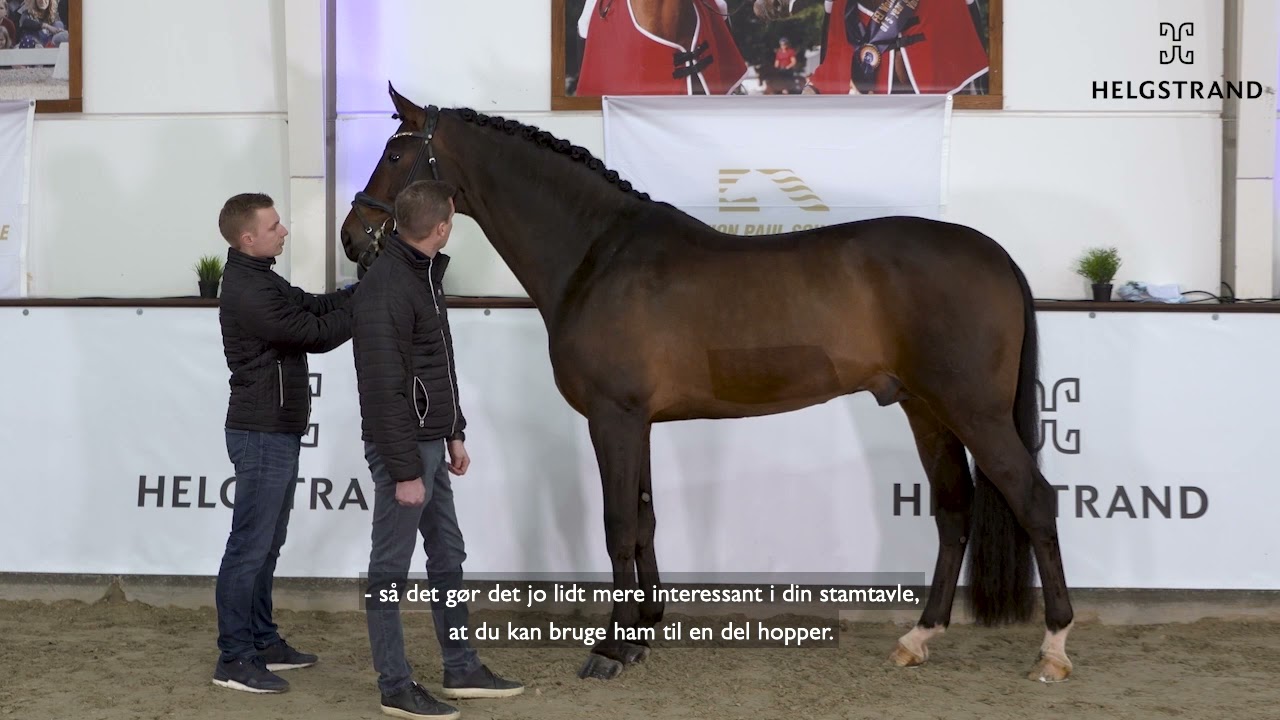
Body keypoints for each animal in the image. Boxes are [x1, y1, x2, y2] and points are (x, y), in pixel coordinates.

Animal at [340, 83, 1075, 685]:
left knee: (1035, 500)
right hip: (927, 410)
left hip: (974, 410)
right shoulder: (636, 421)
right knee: (954, 511)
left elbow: (616, 524)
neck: (596, 253)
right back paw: (918, 638)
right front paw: (643, 630)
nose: (352, 237)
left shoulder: (613, 417)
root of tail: (994, 254)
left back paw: (1053, 648)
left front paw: (610, 649)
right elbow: (643, 518)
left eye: (397, 155)